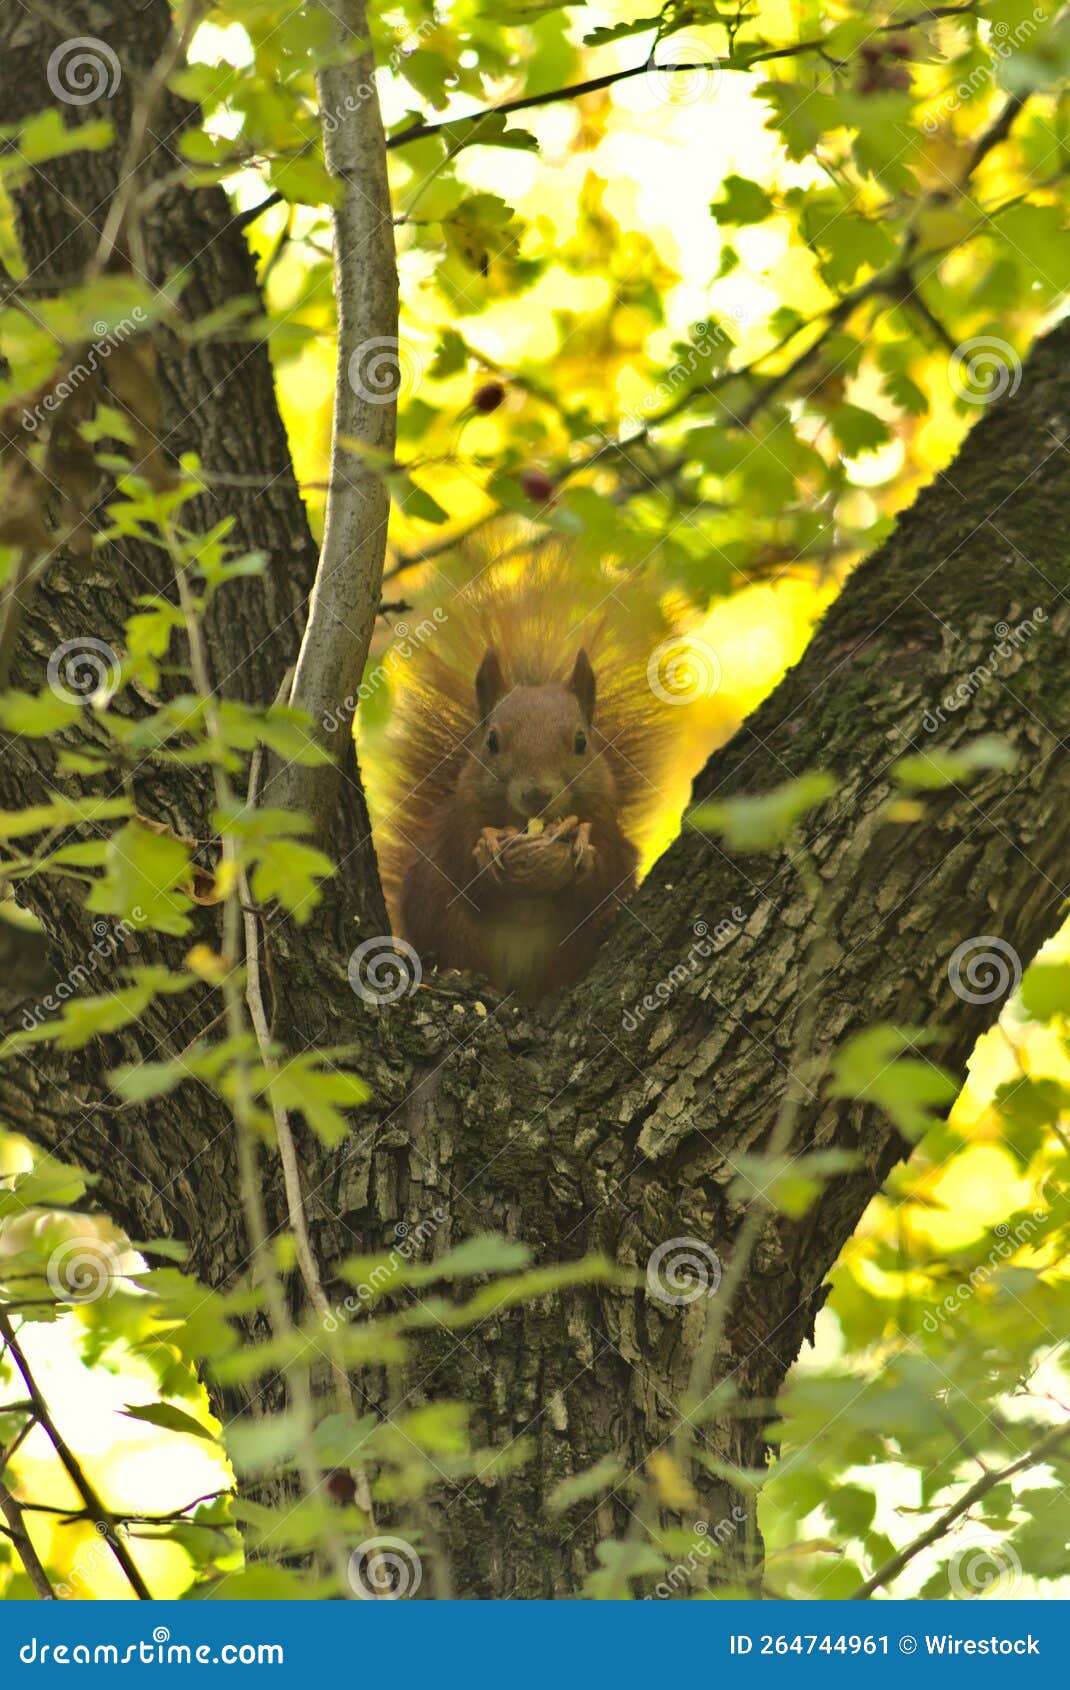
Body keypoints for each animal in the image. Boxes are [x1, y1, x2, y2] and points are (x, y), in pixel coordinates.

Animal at [374, 561, 693, 1003]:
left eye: (581, 742)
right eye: (491, 742)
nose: (538, 794)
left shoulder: (609, 826)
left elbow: (604, 876)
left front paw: (579, 838)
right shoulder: (456, 825)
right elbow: (462, 866)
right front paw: (488, 846)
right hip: (441, 917)